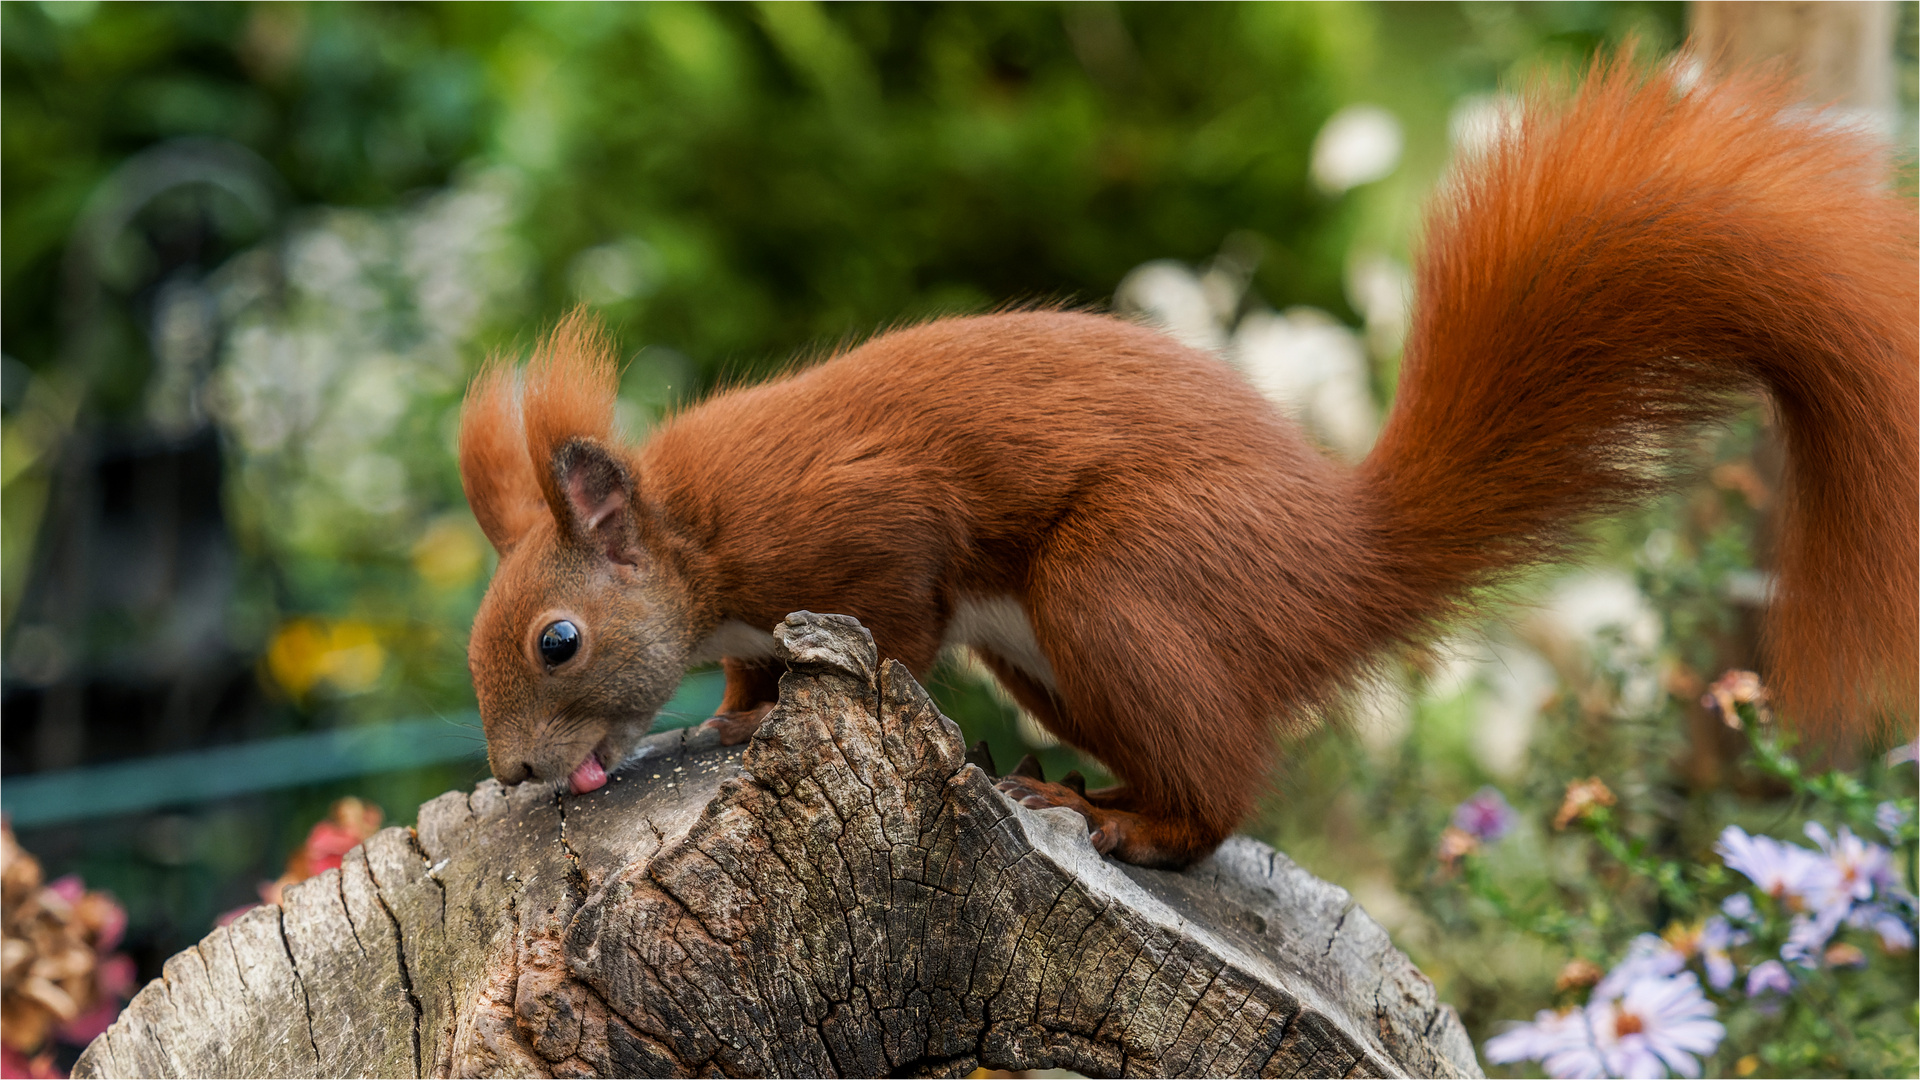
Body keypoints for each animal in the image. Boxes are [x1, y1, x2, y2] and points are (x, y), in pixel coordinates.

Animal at [456, 61, 1912, 864]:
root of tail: (1341, 562)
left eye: (556, 642)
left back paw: (1129, 827)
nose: (515, 775)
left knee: (1220, 801)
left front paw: (770, 715)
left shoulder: (863, 524)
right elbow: (754, 663)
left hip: (1121, 588)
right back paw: (1080, 788)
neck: (694, 534)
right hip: (1055, 659)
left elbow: (894, 629)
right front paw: (731, 710)